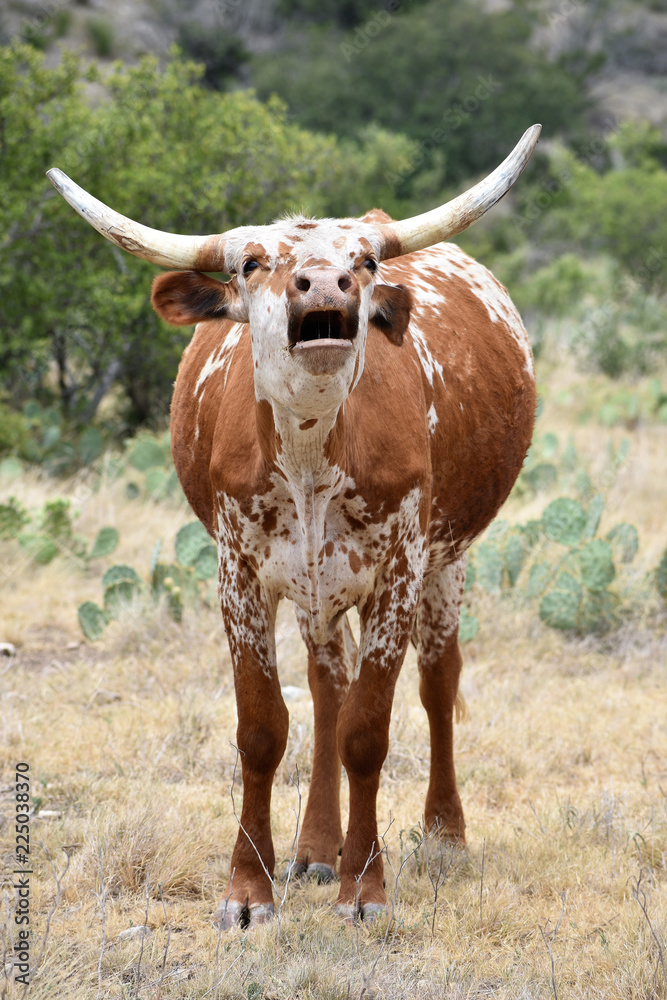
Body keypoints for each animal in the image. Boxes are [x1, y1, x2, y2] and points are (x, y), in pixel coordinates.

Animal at [47, 124, 540, 929]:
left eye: (364, 262)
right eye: (252, 263)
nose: (326, 286)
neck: (310, 451)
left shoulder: (398, 573)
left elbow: (368, 733)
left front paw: (366, 888)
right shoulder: (238, 577)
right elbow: (263, 729)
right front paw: (250, 889)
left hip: (444, 562)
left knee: (437, 682)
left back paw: (443, 834)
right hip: (314, 586)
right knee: (326, 683)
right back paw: (315, 848)